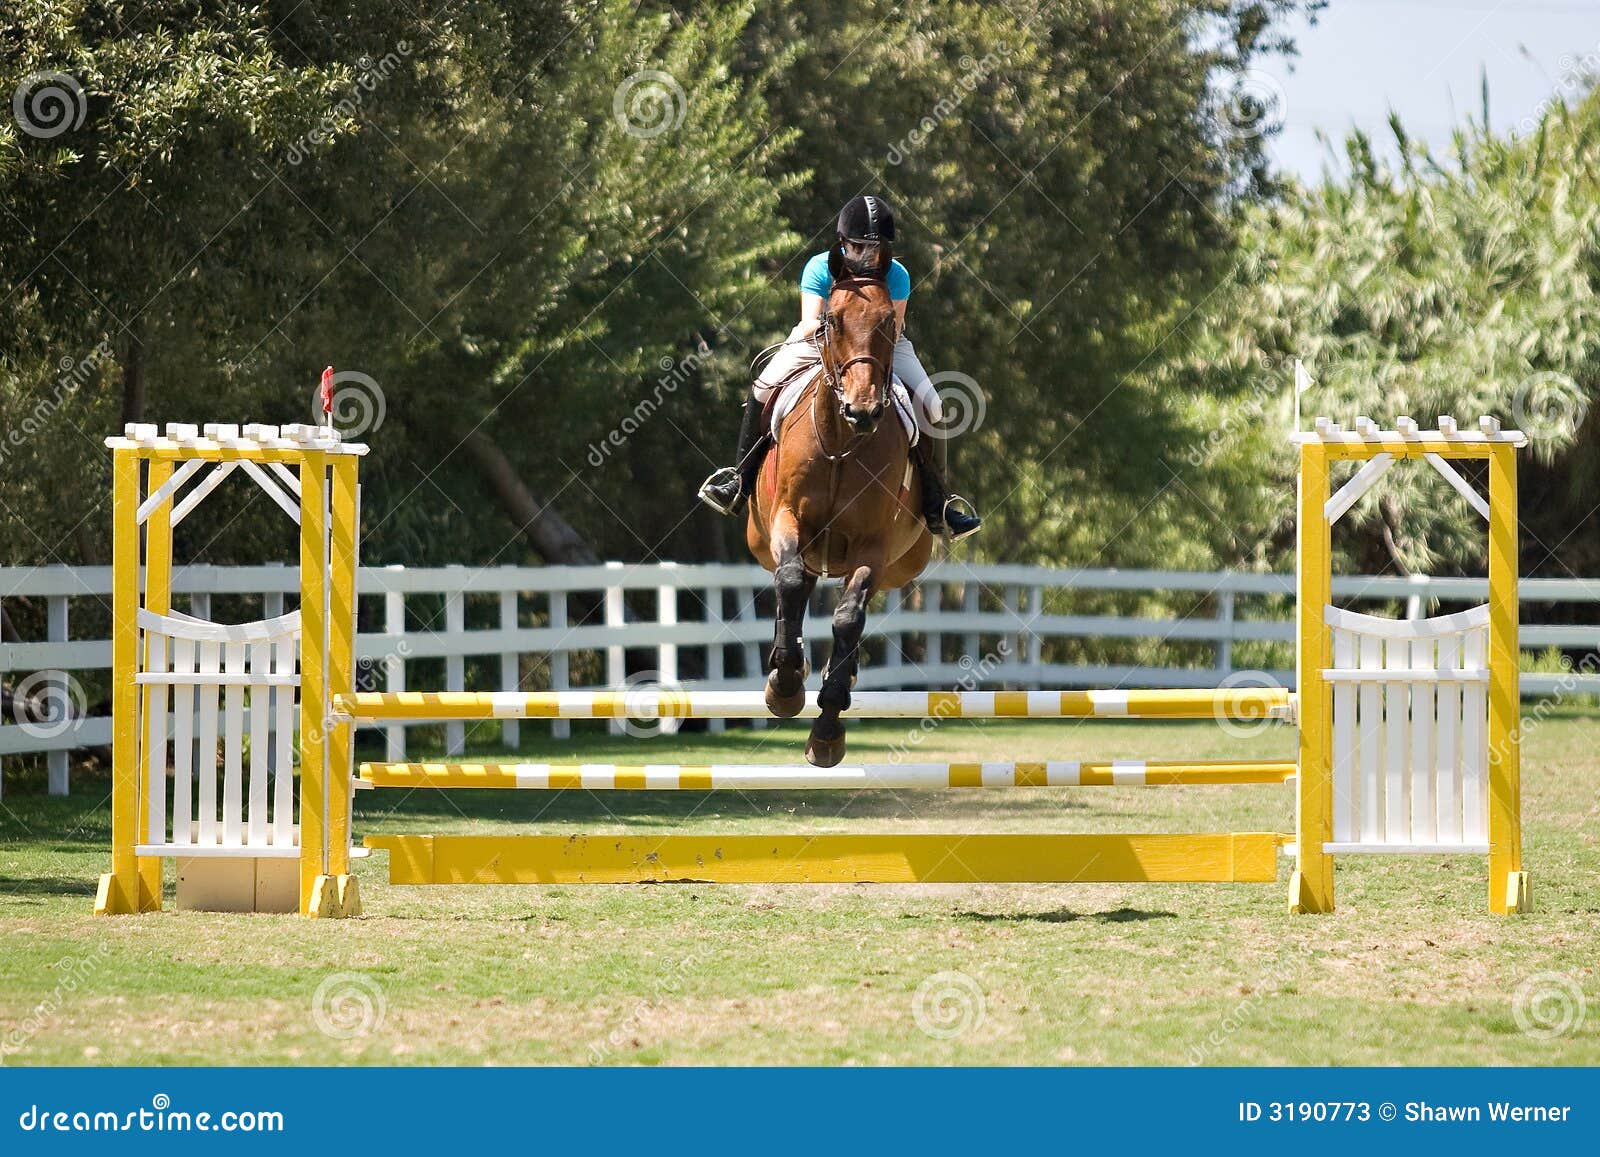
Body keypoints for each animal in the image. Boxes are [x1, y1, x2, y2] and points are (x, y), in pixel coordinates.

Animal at [746, 275, 934, 767]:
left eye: (889, 322)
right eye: (830, 320)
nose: (862, 410)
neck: (840, 444)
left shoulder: (873, 546)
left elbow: (849, 618)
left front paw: (827, 728)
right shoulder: (787, 521)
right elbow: (790, 581)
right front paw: (785, 686)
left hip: (898, 562)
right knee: (795, 581)